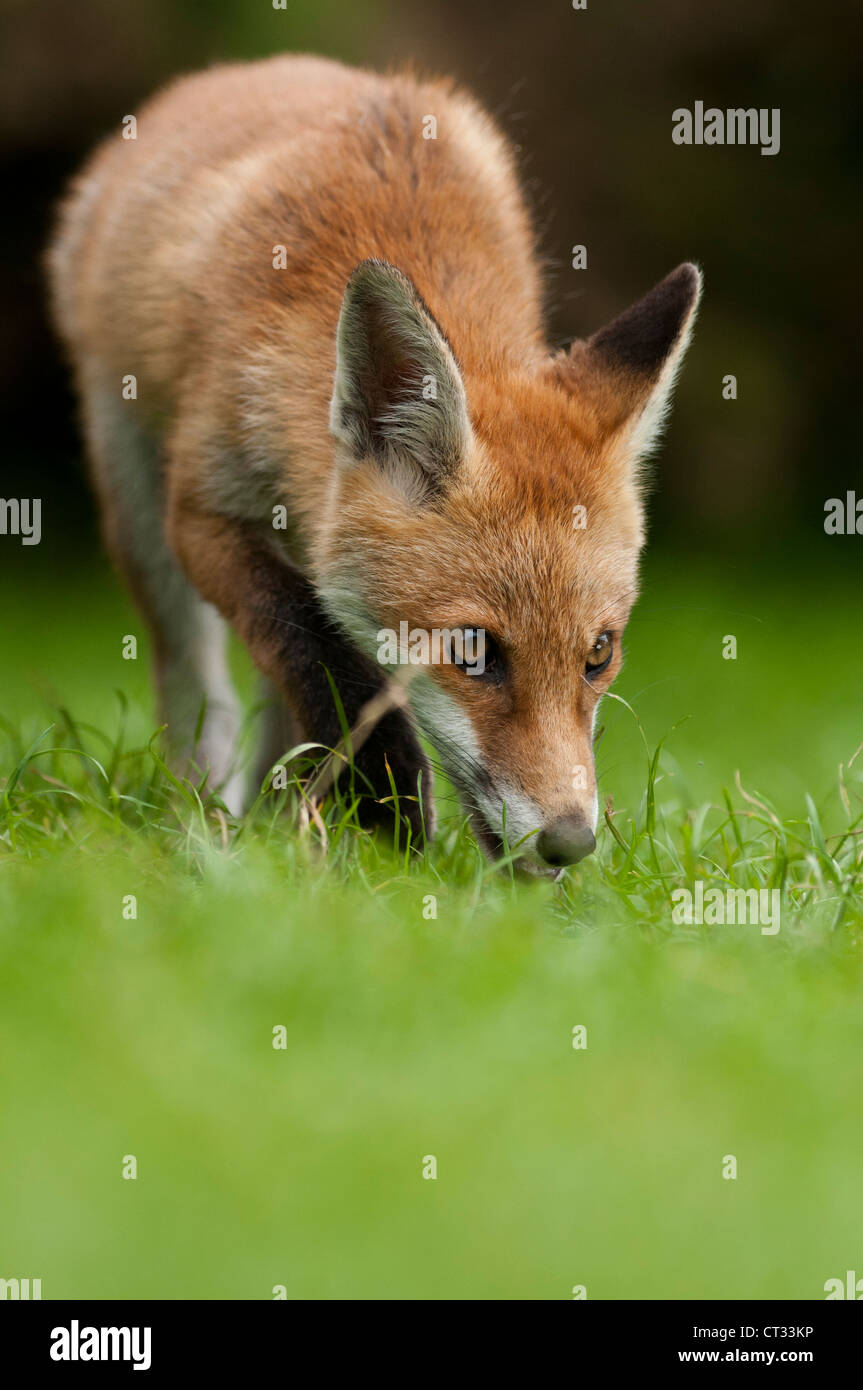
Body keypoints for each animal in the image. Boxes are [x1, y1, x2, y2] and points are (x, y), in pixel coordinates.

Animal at [47, 53, 701, 874]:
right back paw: (205, 813)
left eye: (599, 654)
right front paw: (386, 800)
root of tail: (239, 71)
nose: (569, 844)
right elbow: (314, 642)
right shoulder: (202, 508)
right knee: (199, 680)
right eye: (472, 651)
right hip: (131, 480)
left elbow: (308, 657)